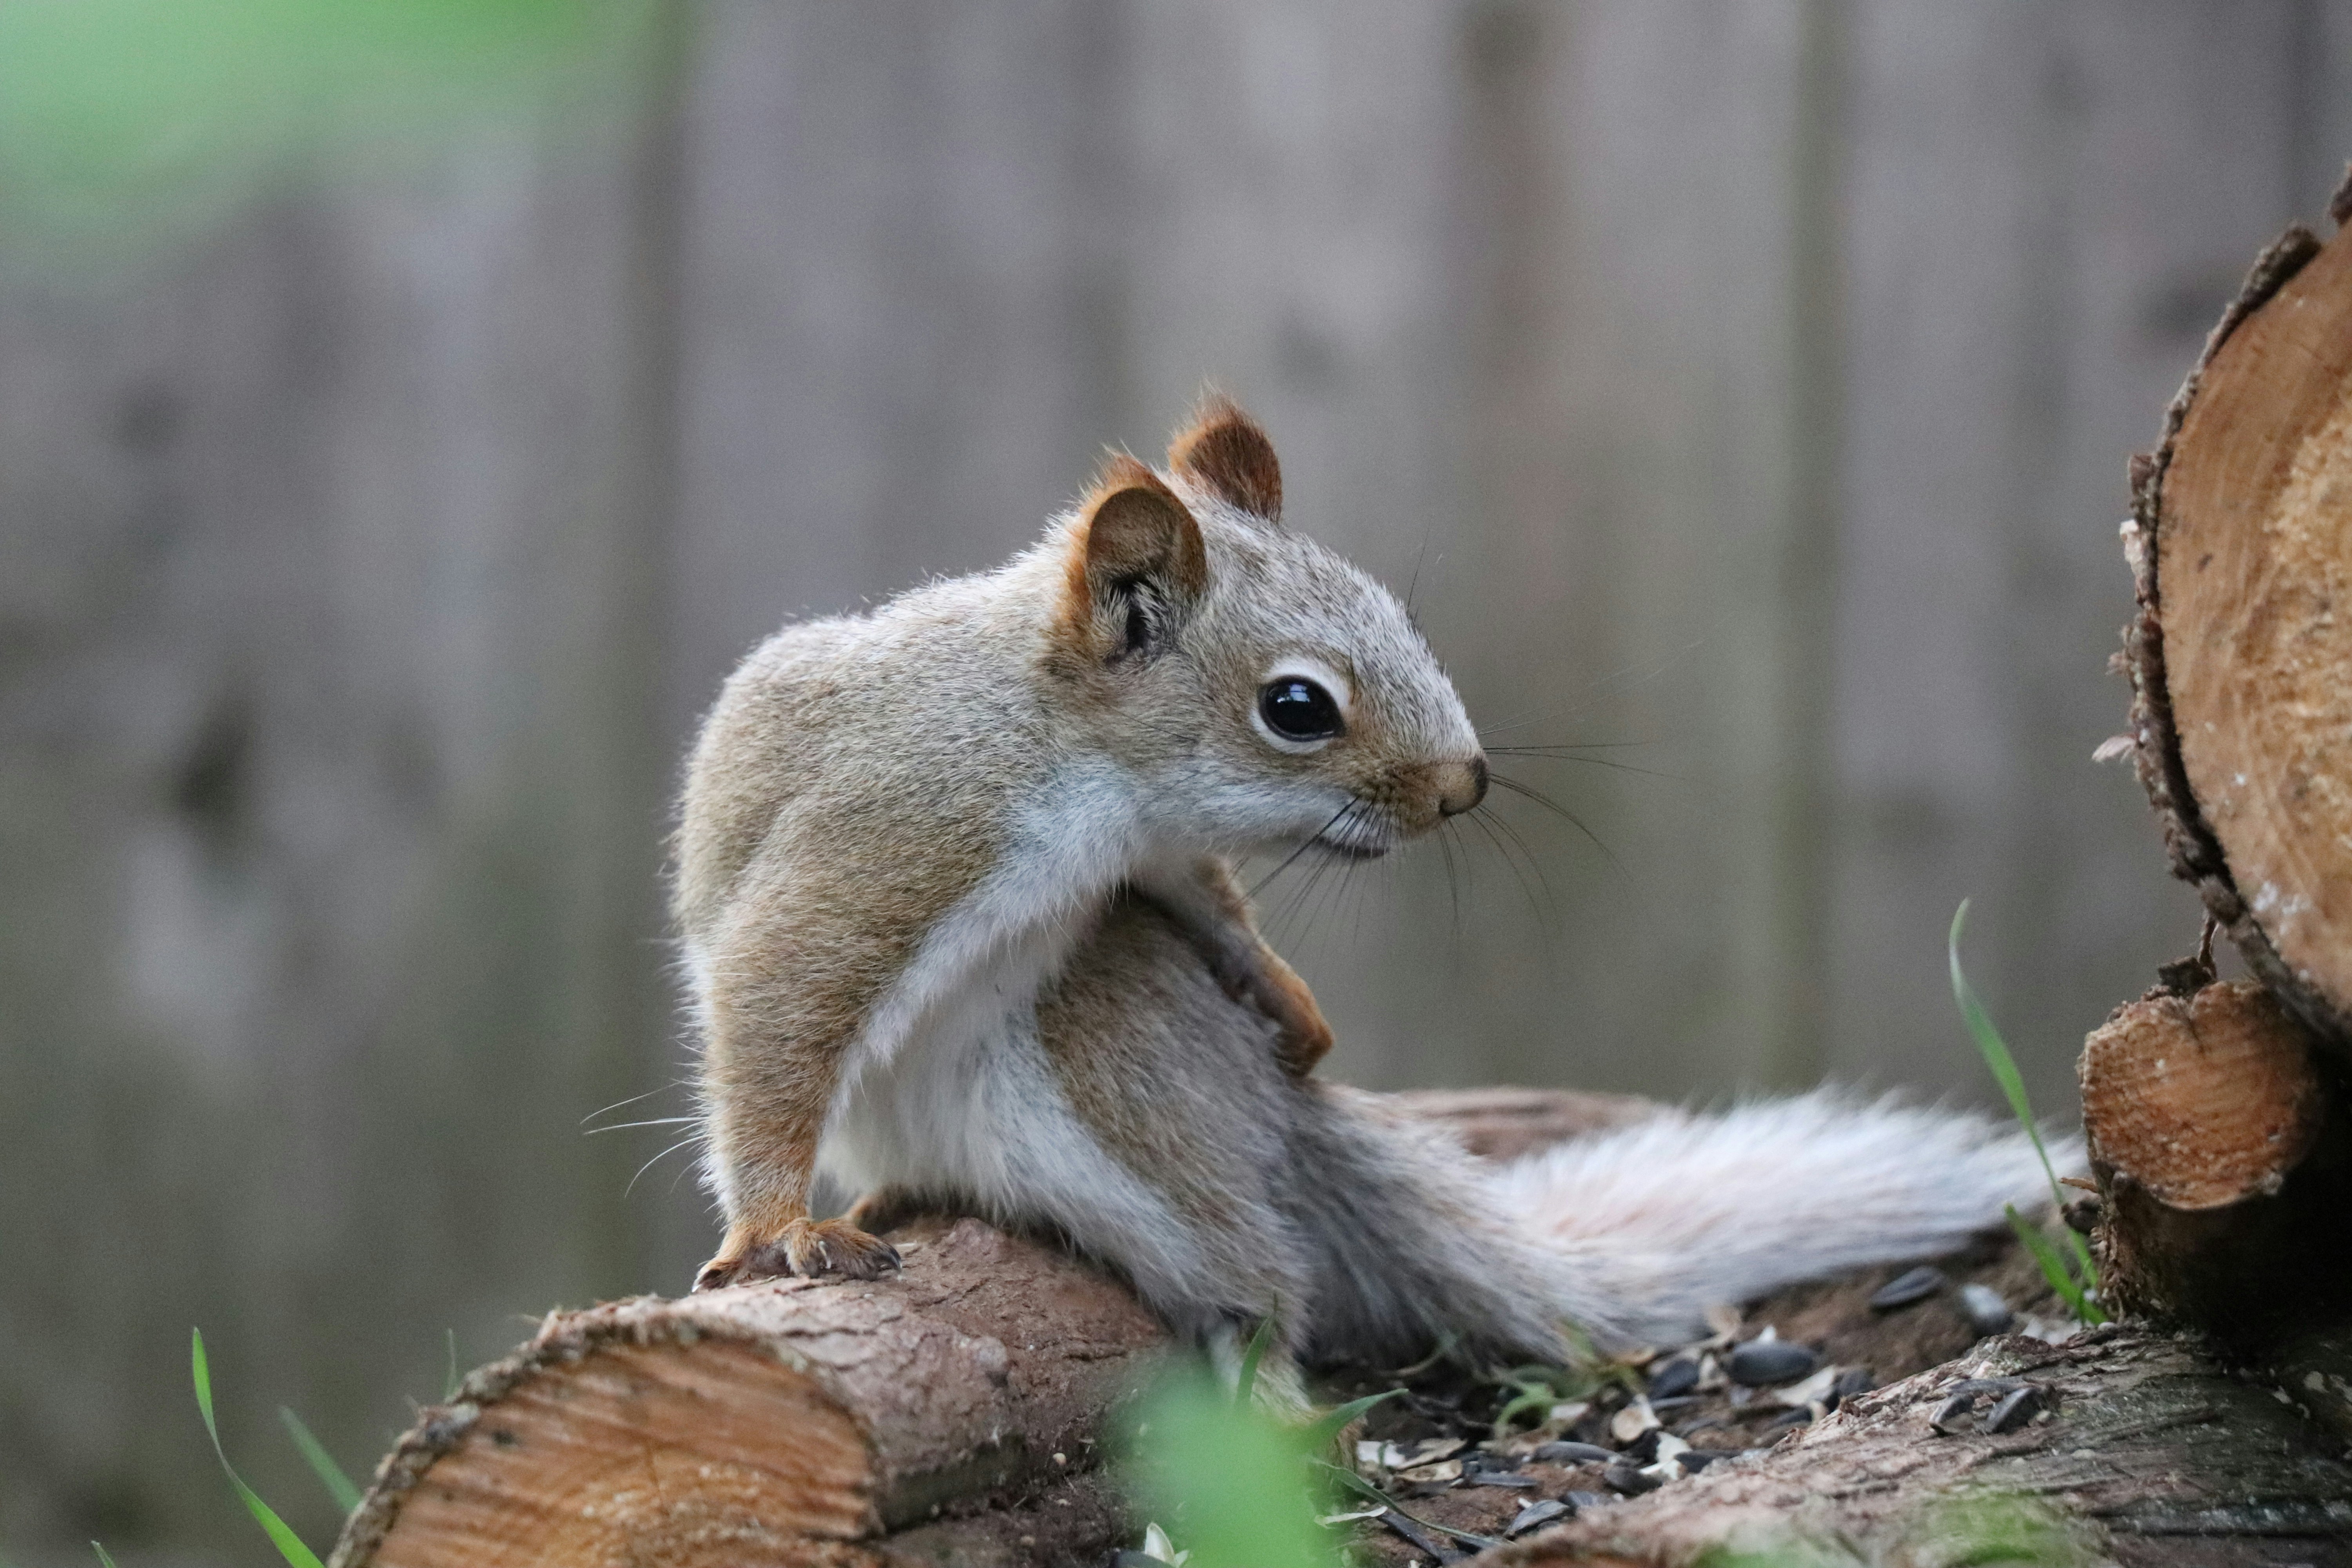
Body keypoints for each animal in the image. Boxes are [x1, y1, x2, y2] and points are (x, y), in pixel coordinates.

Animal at [672, 395, 2062, 1387]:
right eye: (1298, 707)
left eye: (1401, 614)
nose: (1465, 785)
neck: (1072, 758)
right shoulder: (894, 835)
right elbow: (778, 1003)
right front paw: (778, 1229)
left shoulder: (1149, 851)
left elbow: (1205, 897)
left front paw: (1287, 997)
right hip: (1100, 1061)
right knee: (1257, 1275)